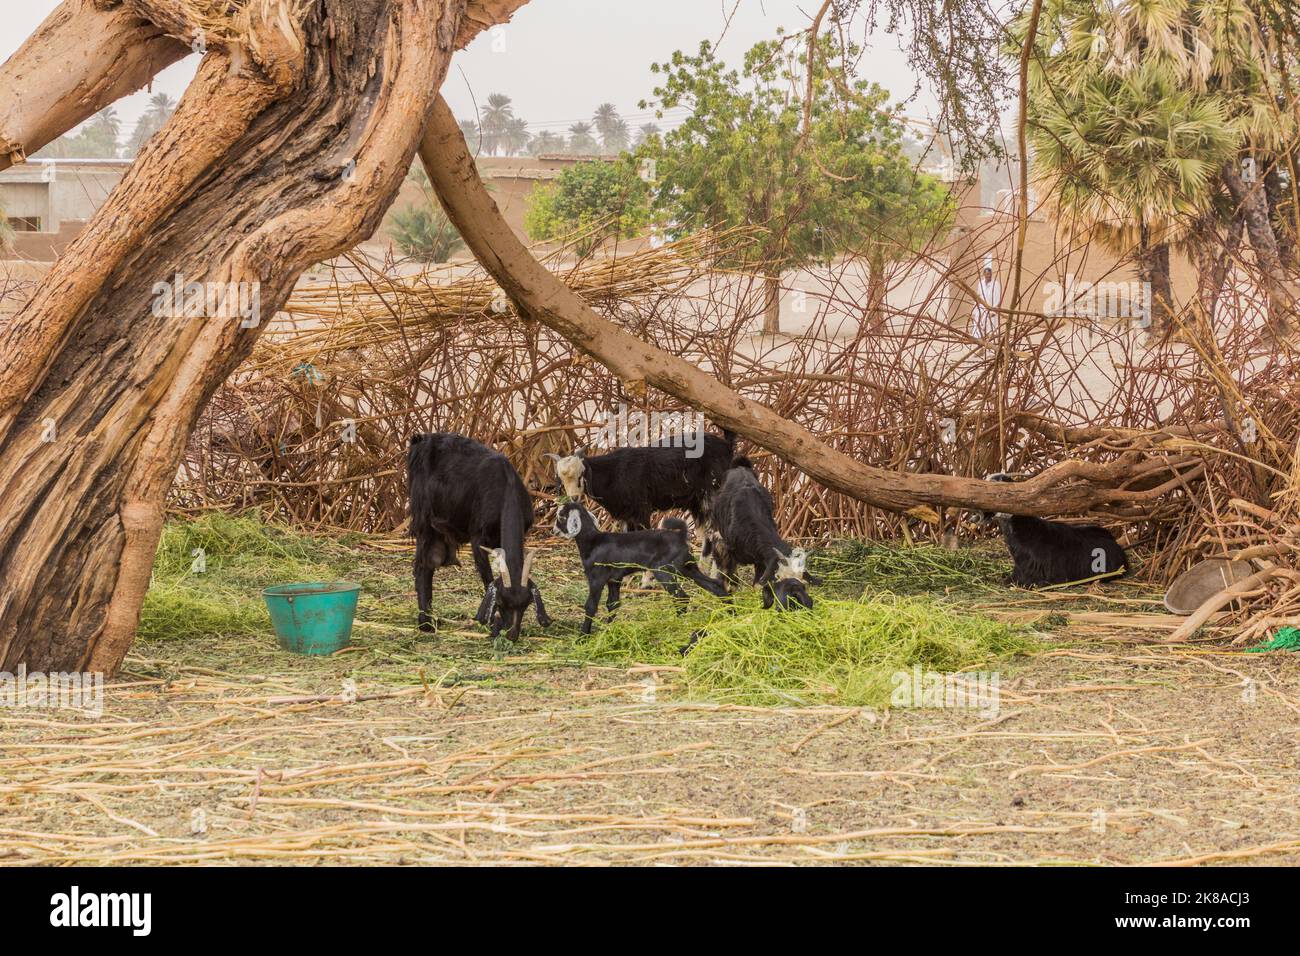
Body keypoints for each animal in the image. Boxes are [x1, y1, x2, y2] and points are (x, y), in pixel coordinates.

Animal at [408, 432, 550, 645]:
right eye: (500, 602)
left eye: (526, 604)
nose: (512, 635)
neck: (505, 488)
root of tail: (421, 440)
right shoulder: (478, 540)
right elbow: (487, 577)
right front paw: (493, 626)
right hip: (424, 522)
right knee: (423, 567)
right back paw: (425, 623)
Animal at [546, 429, 736, 530]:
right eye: (561, 479)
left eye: (581, 474)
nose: (574, 497)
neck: (613, 472)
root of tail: (726, 446)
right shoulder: (626, 515)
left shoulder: (641, 510)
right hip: (697, 502)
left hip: (712, 495)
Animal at [552, 500, 728, 634]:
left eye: (561, 516)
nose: (554, 531)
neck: (593, 541)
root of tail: (680, 535)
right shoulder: (614, 580)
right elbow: (612, 604)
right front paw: (609, 629)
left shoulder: (597, 578)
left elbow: (590, 605)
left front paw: (583, 635)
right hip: (687, 567)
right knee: (714, 584)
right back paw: (728, 610)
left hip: (663, 571)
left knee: (681, 596)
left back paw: (677, 623)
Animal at [703, 459, 814, 610]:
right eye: (778, 577)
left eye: (802, 583)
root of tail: (740, 466)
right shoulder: (725, 547)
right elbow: (728, 580)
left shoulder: (761, 560)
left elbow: (756, 585)